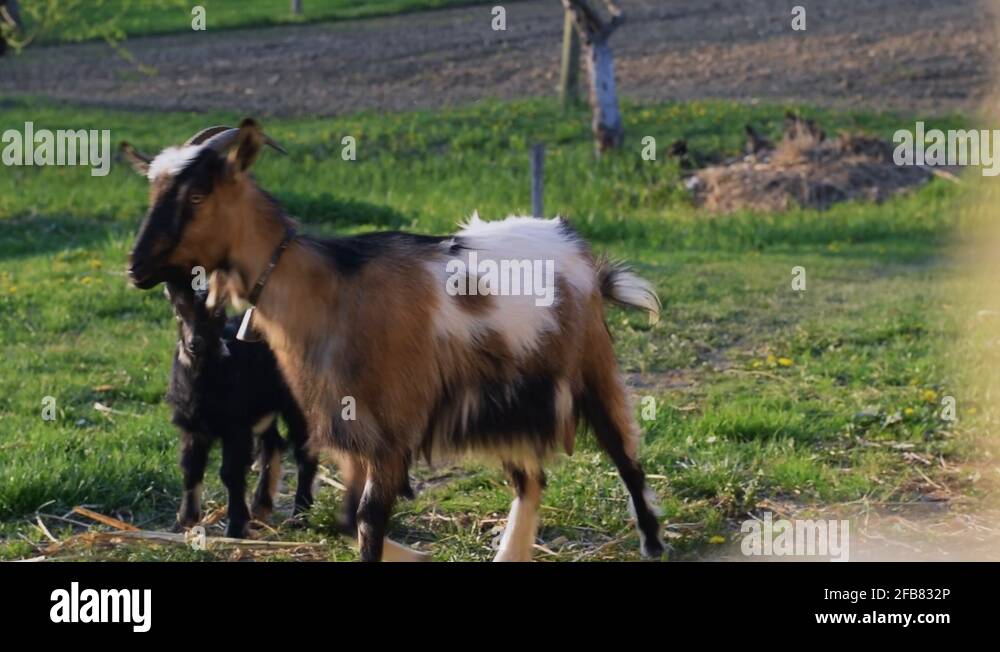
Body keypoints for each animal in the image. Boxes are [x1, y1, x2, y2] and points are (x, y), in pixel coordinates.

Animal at [163, 280, 317, 538]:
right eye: (179, 313)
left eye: (218, 313)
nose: (195, 343)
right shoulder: (191, 426)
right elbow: (190, 469)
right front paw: (184, 522)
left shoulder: (235, 426)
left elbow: (230, 472)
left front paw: (235, 526)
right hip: (262, 407)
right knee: (273, 443)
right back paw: (260, 509)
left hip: (297, 402)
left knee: (304, 451)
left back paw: (299, 516)